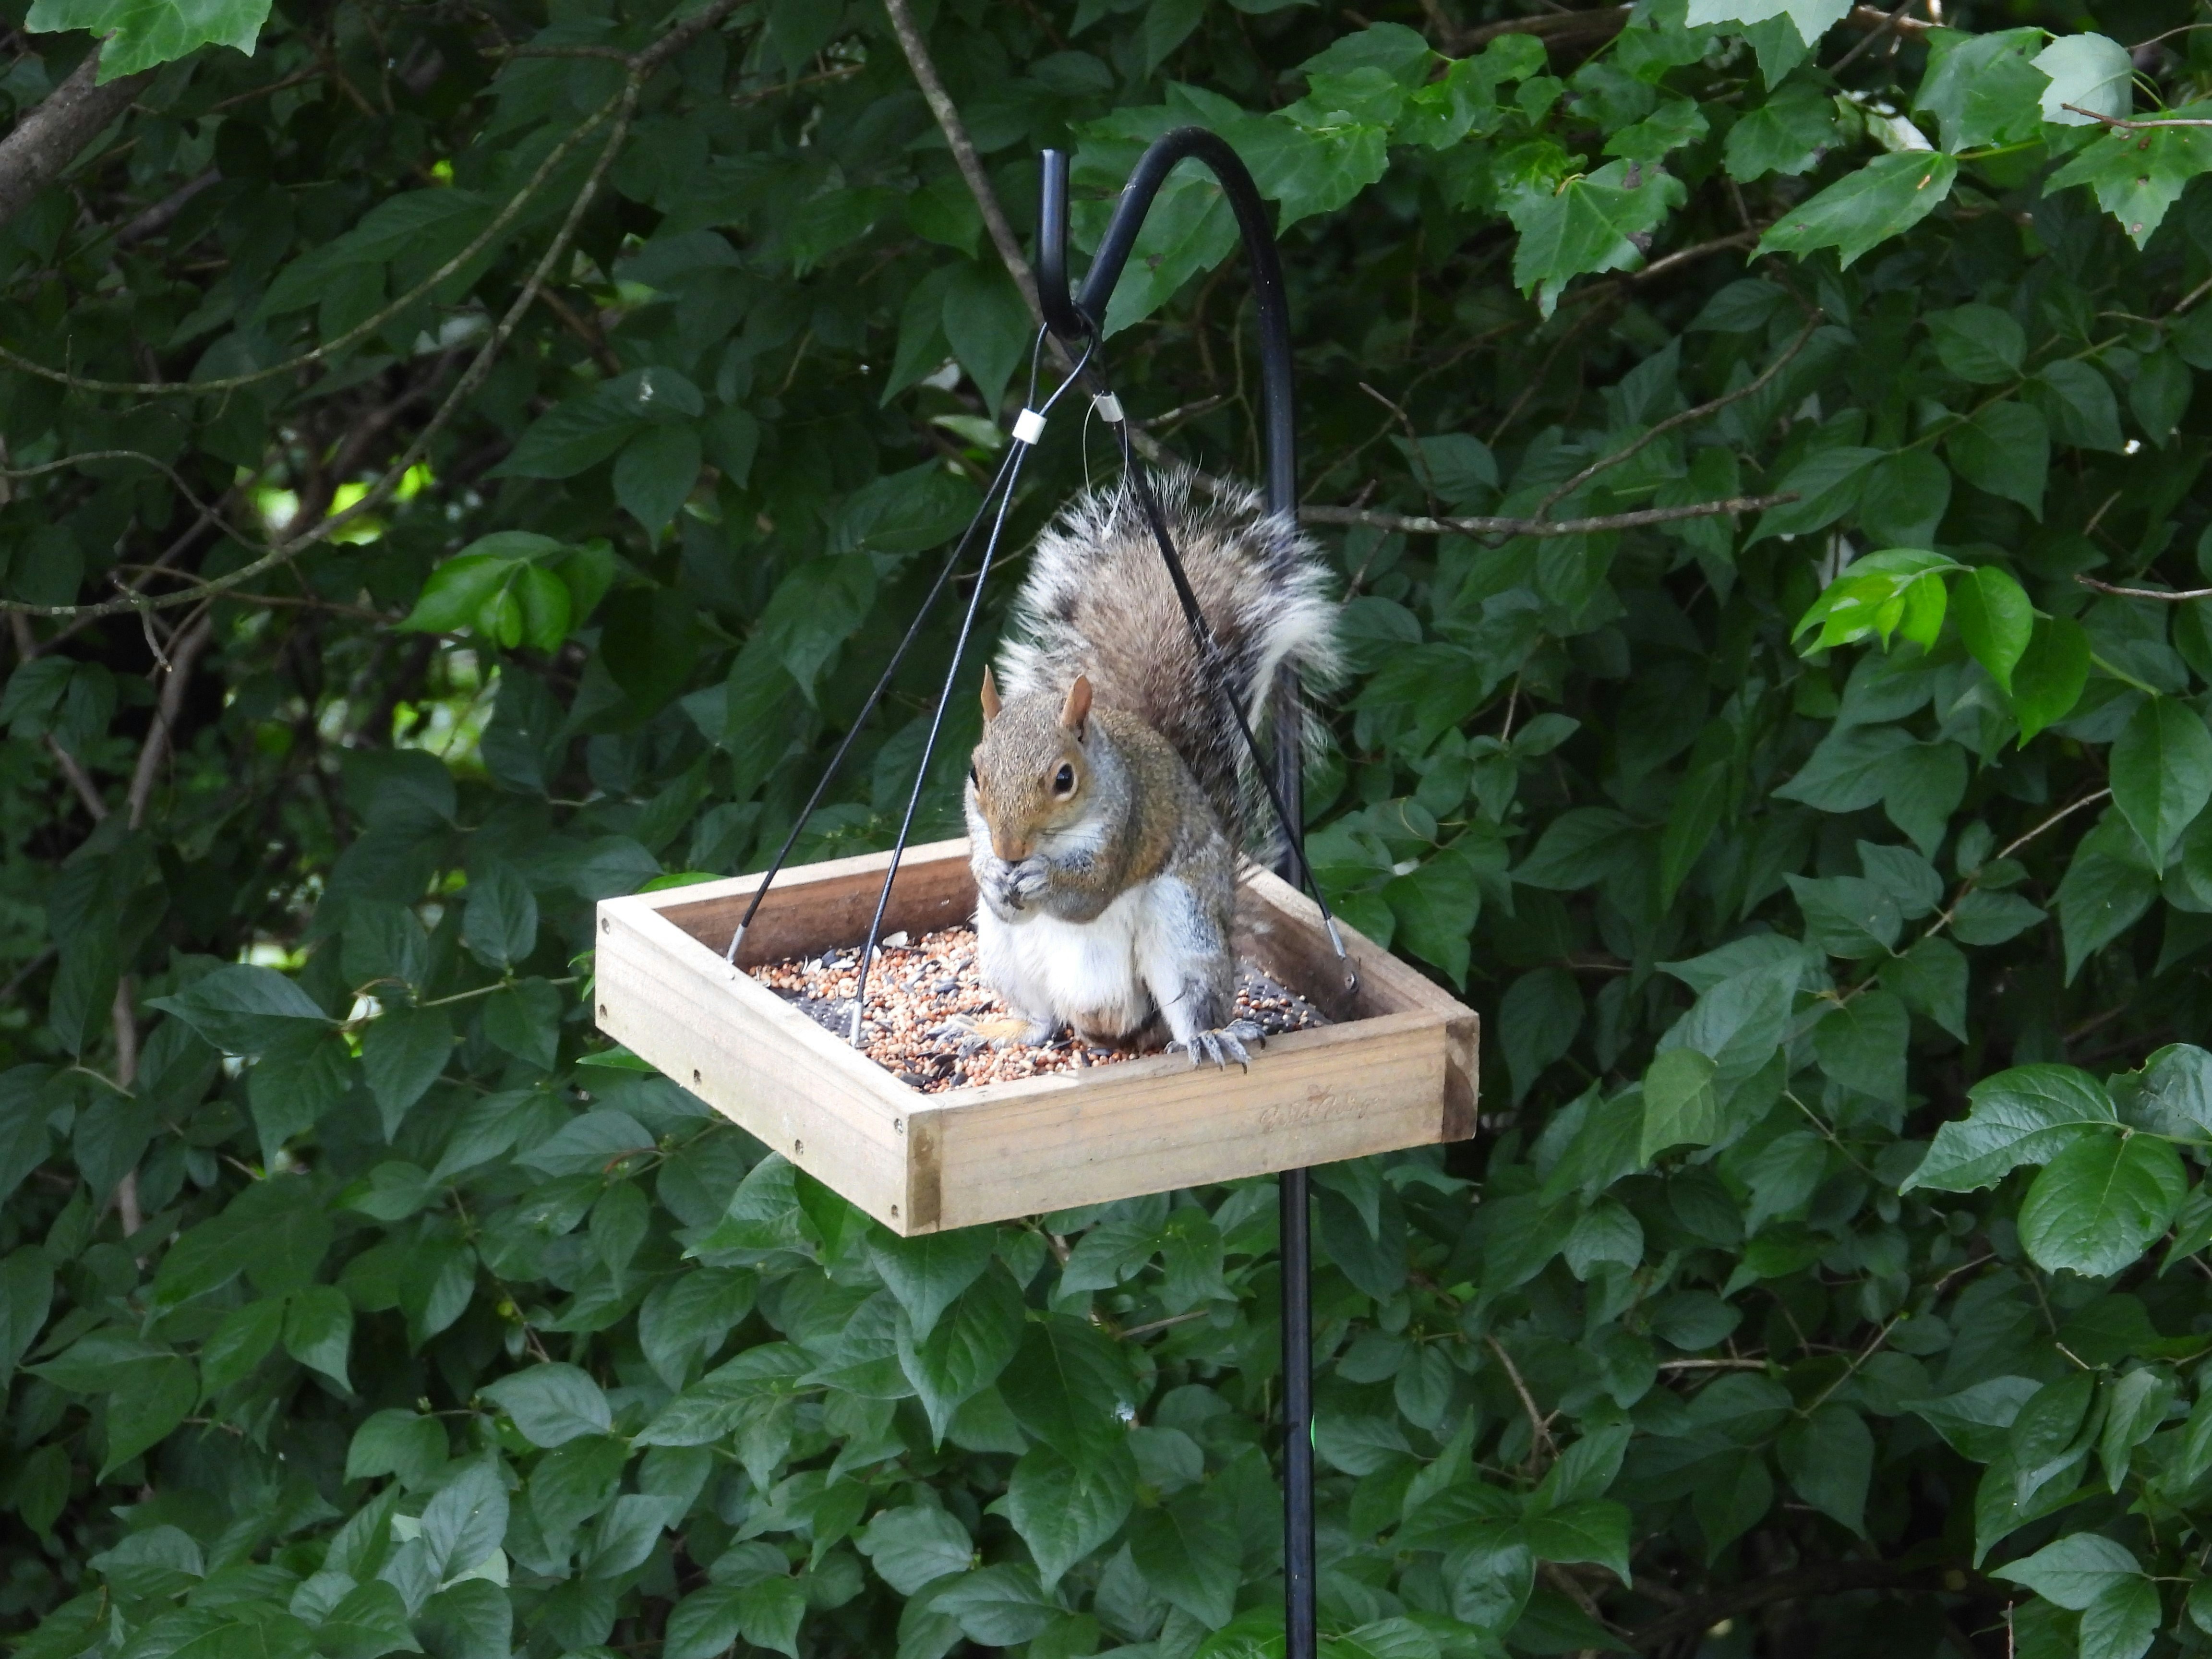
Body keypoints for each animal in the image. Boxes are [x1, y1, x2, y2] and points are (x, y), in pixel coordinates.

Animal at [961, 467, 1336, 1068]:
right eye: (976, 774)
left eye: (1064, 779)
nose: (1010, 851)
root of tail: (1112, 1027)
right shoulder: (980, 829)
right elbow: (995, 883)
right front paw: (995, 874)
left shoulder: (1128, 829)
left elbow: (1089, 894)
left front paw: (1045, 878)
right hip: (1004, 952)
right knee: (1045, 1018)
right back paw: (1007, 1031)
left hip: (1184, 931)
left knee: (1188, 1008)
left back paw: (1208, 1035)